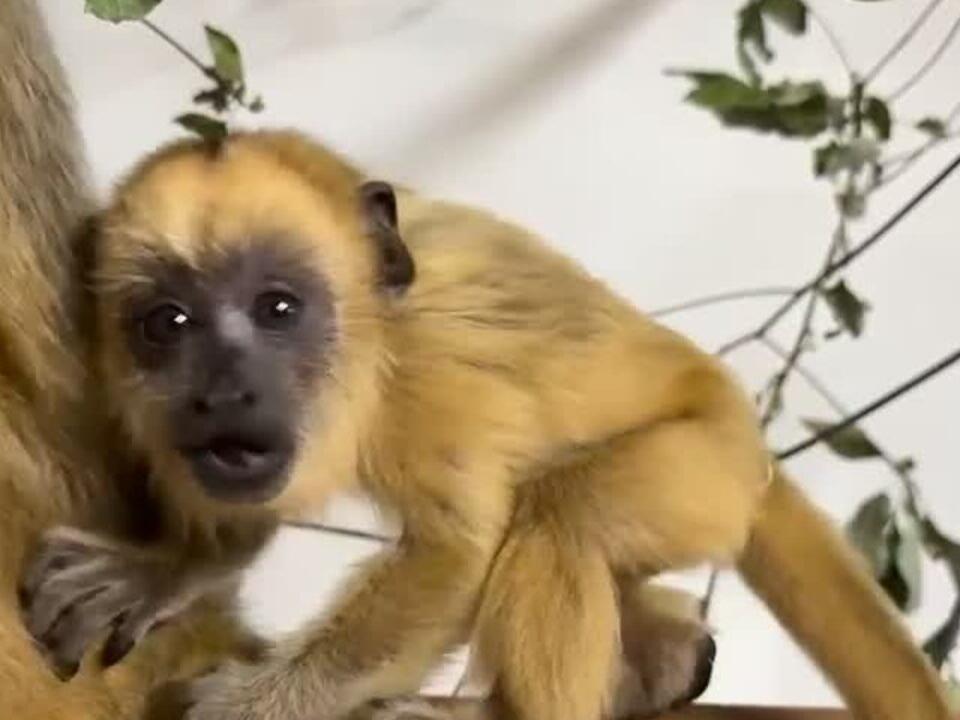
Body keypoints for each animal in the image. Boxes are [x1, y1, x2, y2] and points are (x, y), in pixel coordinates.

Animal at [20, 129, 951, 720]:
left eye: (278, 308)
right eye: (166, 324)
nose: (222, 394)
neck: (375, 340)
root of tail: (747, 438)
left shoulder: (432, 375)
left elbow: (456, 551)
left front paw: (257, 708)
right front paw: (167, 568)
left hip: (701, 469)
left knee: (562, 516)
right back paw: (669, 659)